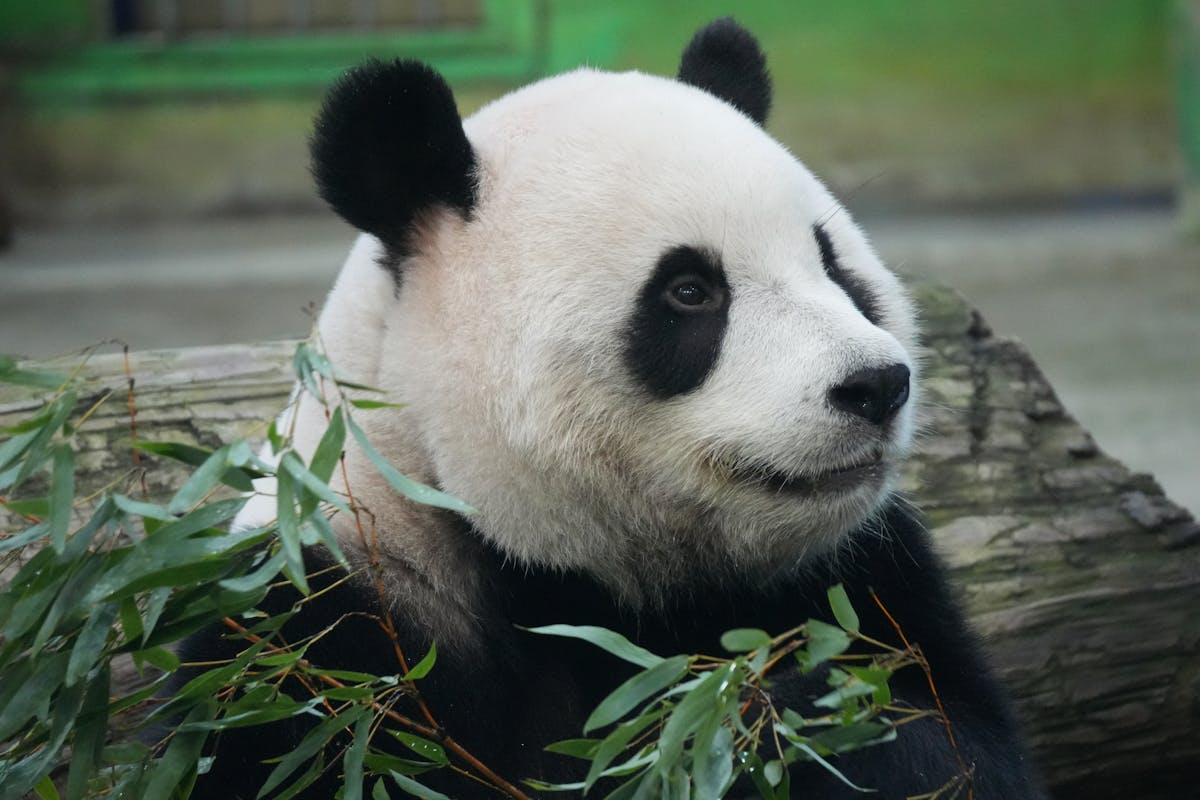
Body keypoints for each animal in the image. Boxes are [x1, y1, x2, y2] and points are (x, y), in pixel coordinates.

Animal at [177, 18, 1048, 800]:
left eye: (834, 266)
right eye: (690, 290)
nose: (874, 386)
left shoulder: (867, 579)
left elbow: (958, 747)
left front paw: (764, 718)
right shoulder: (322, 628)